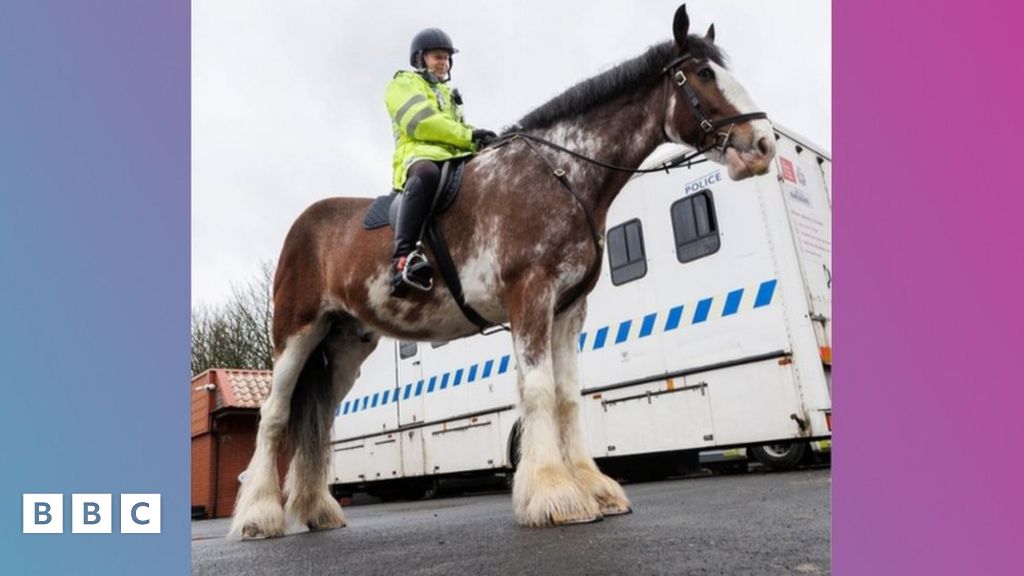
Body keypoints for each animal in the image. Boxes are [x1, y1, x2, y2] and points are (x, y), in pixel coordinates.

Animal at [230, 3, 776, 538]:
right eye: (703, 73)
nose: (764, 144)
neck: (557, 174)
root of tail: (303, 227)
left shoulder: (568, 310)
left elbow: (566, 396)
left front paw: (594, 489)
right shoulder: (529, 295)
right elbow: (537, 389)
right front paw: (555, 495)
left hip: (345, 346)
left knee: (319, 419)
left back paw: (317, 510)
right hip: (297, 335)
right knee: (274, 416)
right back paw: (259, 516)